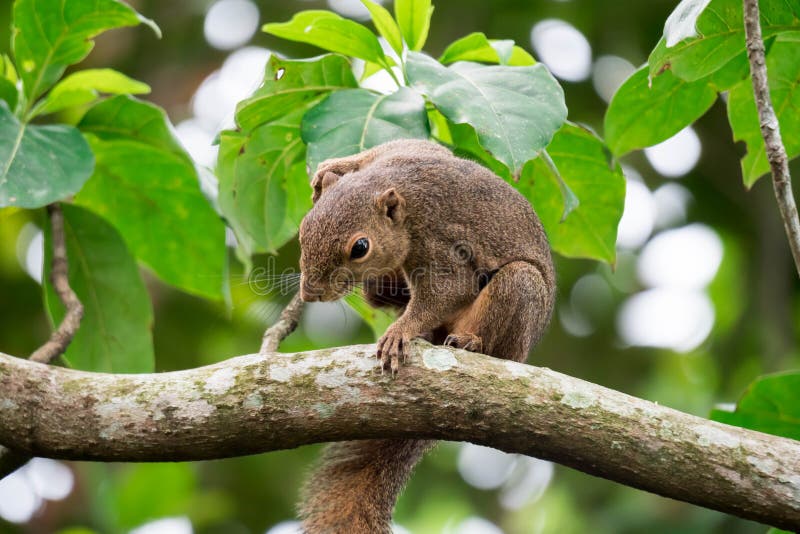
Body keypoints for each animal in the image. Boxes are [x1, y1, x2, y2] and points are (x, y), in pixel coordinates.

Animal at [297, 139, 556, 533]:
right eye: (302, 230)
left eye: (360, 247)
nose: (310, 294)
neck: (399, 184)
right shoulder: (408, 151)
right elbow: (409, 143)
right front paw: (331, 166)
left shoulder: (437, 239)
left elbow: (450, 287)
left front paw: (398, 332)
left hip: (519, 296)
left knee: (503, 327)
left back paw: (472, 344)